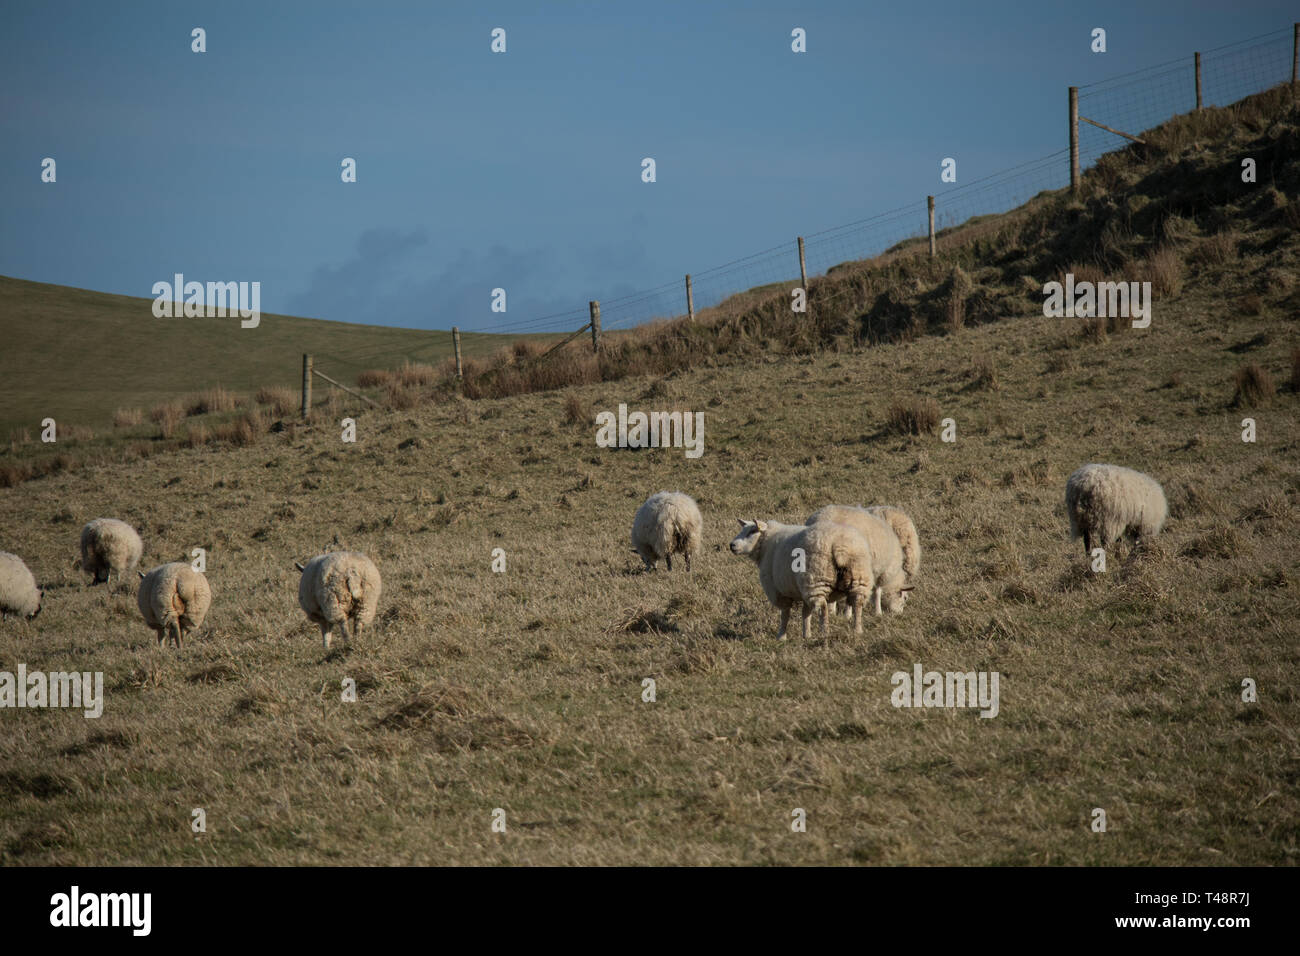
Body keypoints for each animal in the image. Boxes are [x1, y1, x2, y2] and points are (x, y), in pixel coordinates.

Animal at [728, 518, 874, 640]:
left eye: (752, 531)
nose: (732, 545)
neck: (765, 544)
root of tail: (840, 546)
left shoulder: (780, 591)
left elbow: (785, 615)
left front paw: (781, 637)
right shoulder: (802, 591)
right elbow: (806, 613)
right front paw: (806, 635)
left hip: (816, 580)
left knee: (822, 607)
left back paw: (824, 633)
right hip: (858, 577)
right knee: (857, 603)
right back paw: (857, 630)